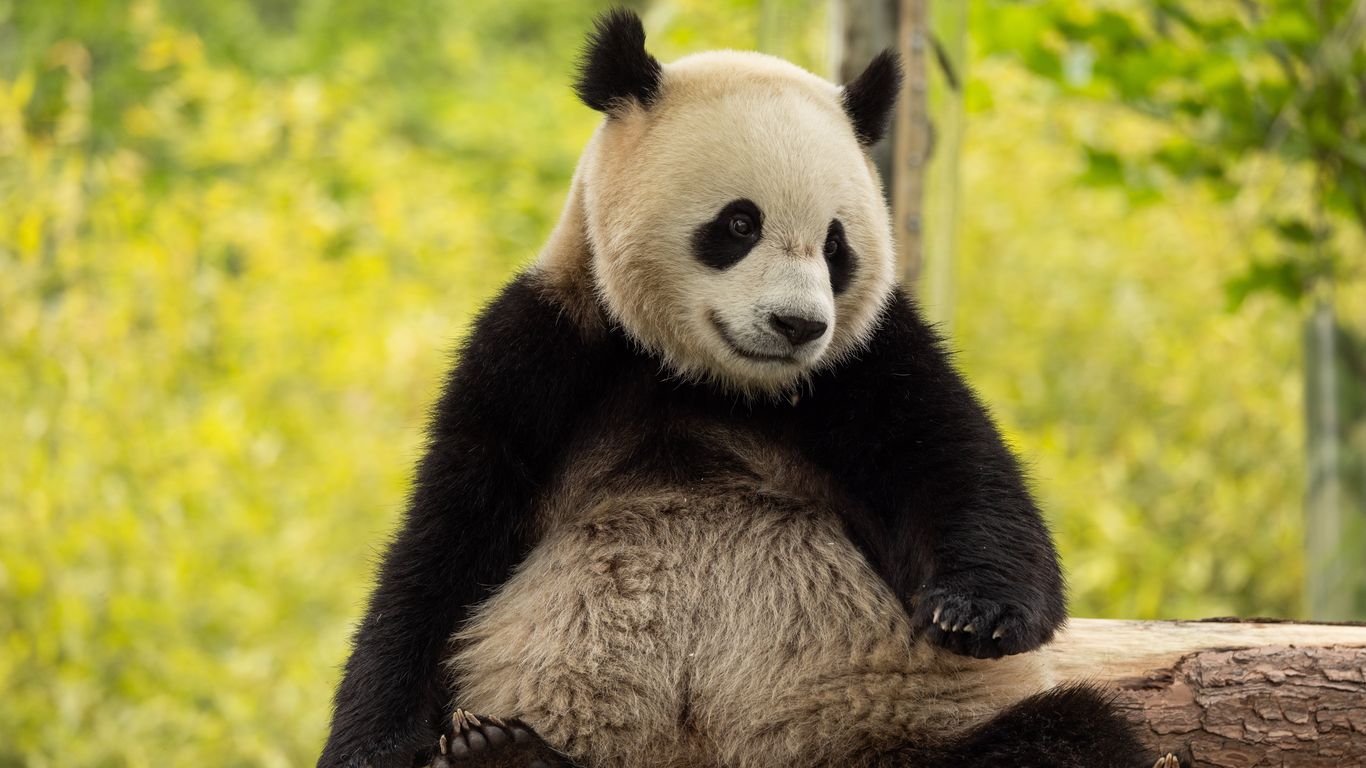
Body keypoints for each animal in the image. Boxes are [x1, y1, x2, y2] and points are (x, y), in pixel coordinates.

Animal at [318, 9, 1150, 768]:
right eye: (740, 223)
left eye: (837, 245)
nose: (797, 325)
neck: (708, 381)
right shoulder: (543, 350)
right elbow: (443, 543)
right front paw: (372, 744)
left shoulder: (868, 361)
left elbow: (962, 472)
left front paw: (975, 612)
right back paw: (503, 752)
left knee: (1072, 732)